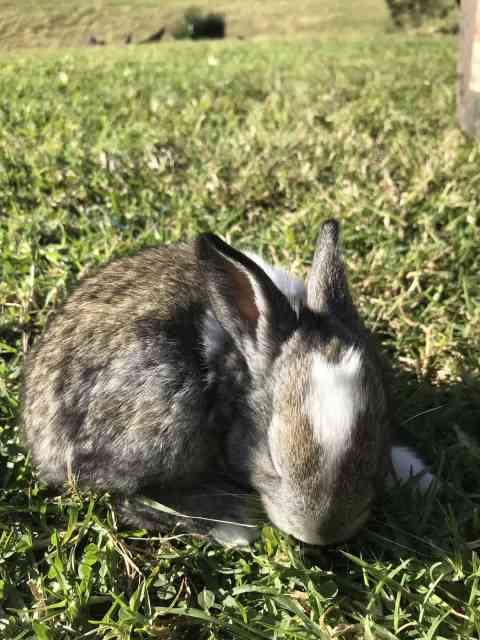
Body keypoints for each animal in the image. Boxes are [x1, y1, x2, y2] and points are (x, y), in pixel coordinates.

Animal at [22, 219, 431, 547]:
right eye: (273, 457)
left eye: (377, 439)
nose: (321, 535)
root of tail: (40, 439)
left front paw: (418, 475)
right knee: (125, 495)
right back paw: (233, 525)